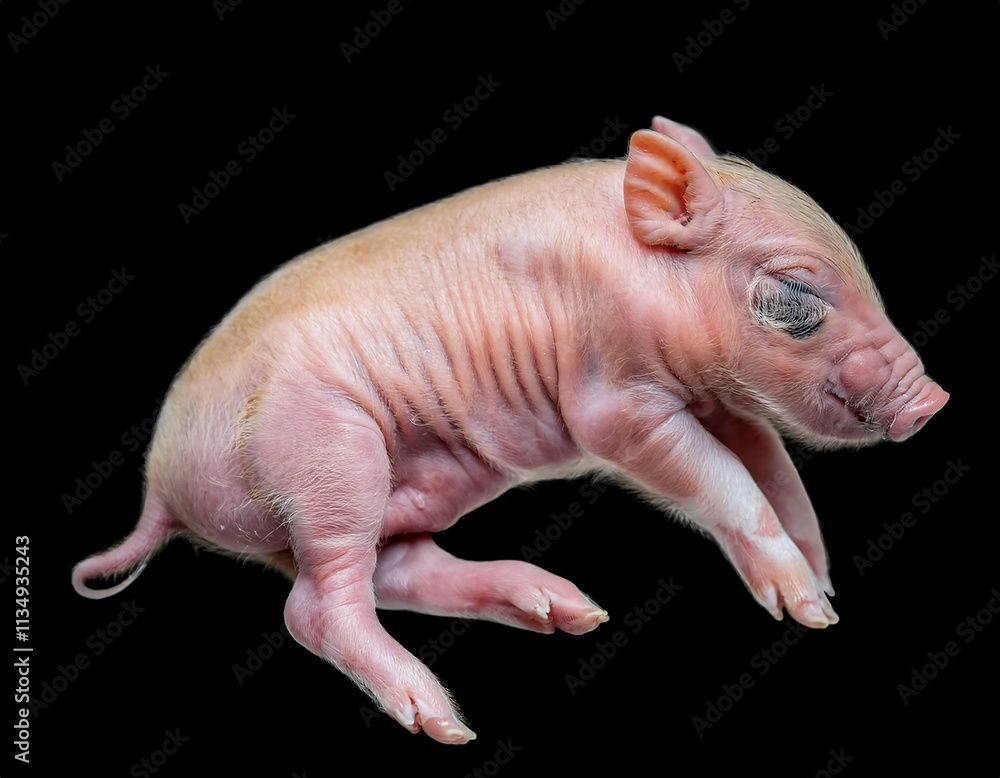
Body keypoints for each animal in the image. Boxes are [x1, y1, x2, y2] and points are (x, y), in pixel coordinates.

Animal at [73, 115, 948, 744]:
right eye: (798, 296)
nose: (933, 402)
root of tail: (160, 486)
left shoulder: (723, 401)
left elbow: (774, 472)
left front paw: (823, 588)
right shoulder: (616, 406)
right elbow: (726, 483)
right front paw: (809, 611)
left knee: (391, 569)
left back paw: (567, 612)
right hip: (325, 453)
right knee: (315, 607)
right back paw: (445, 722)